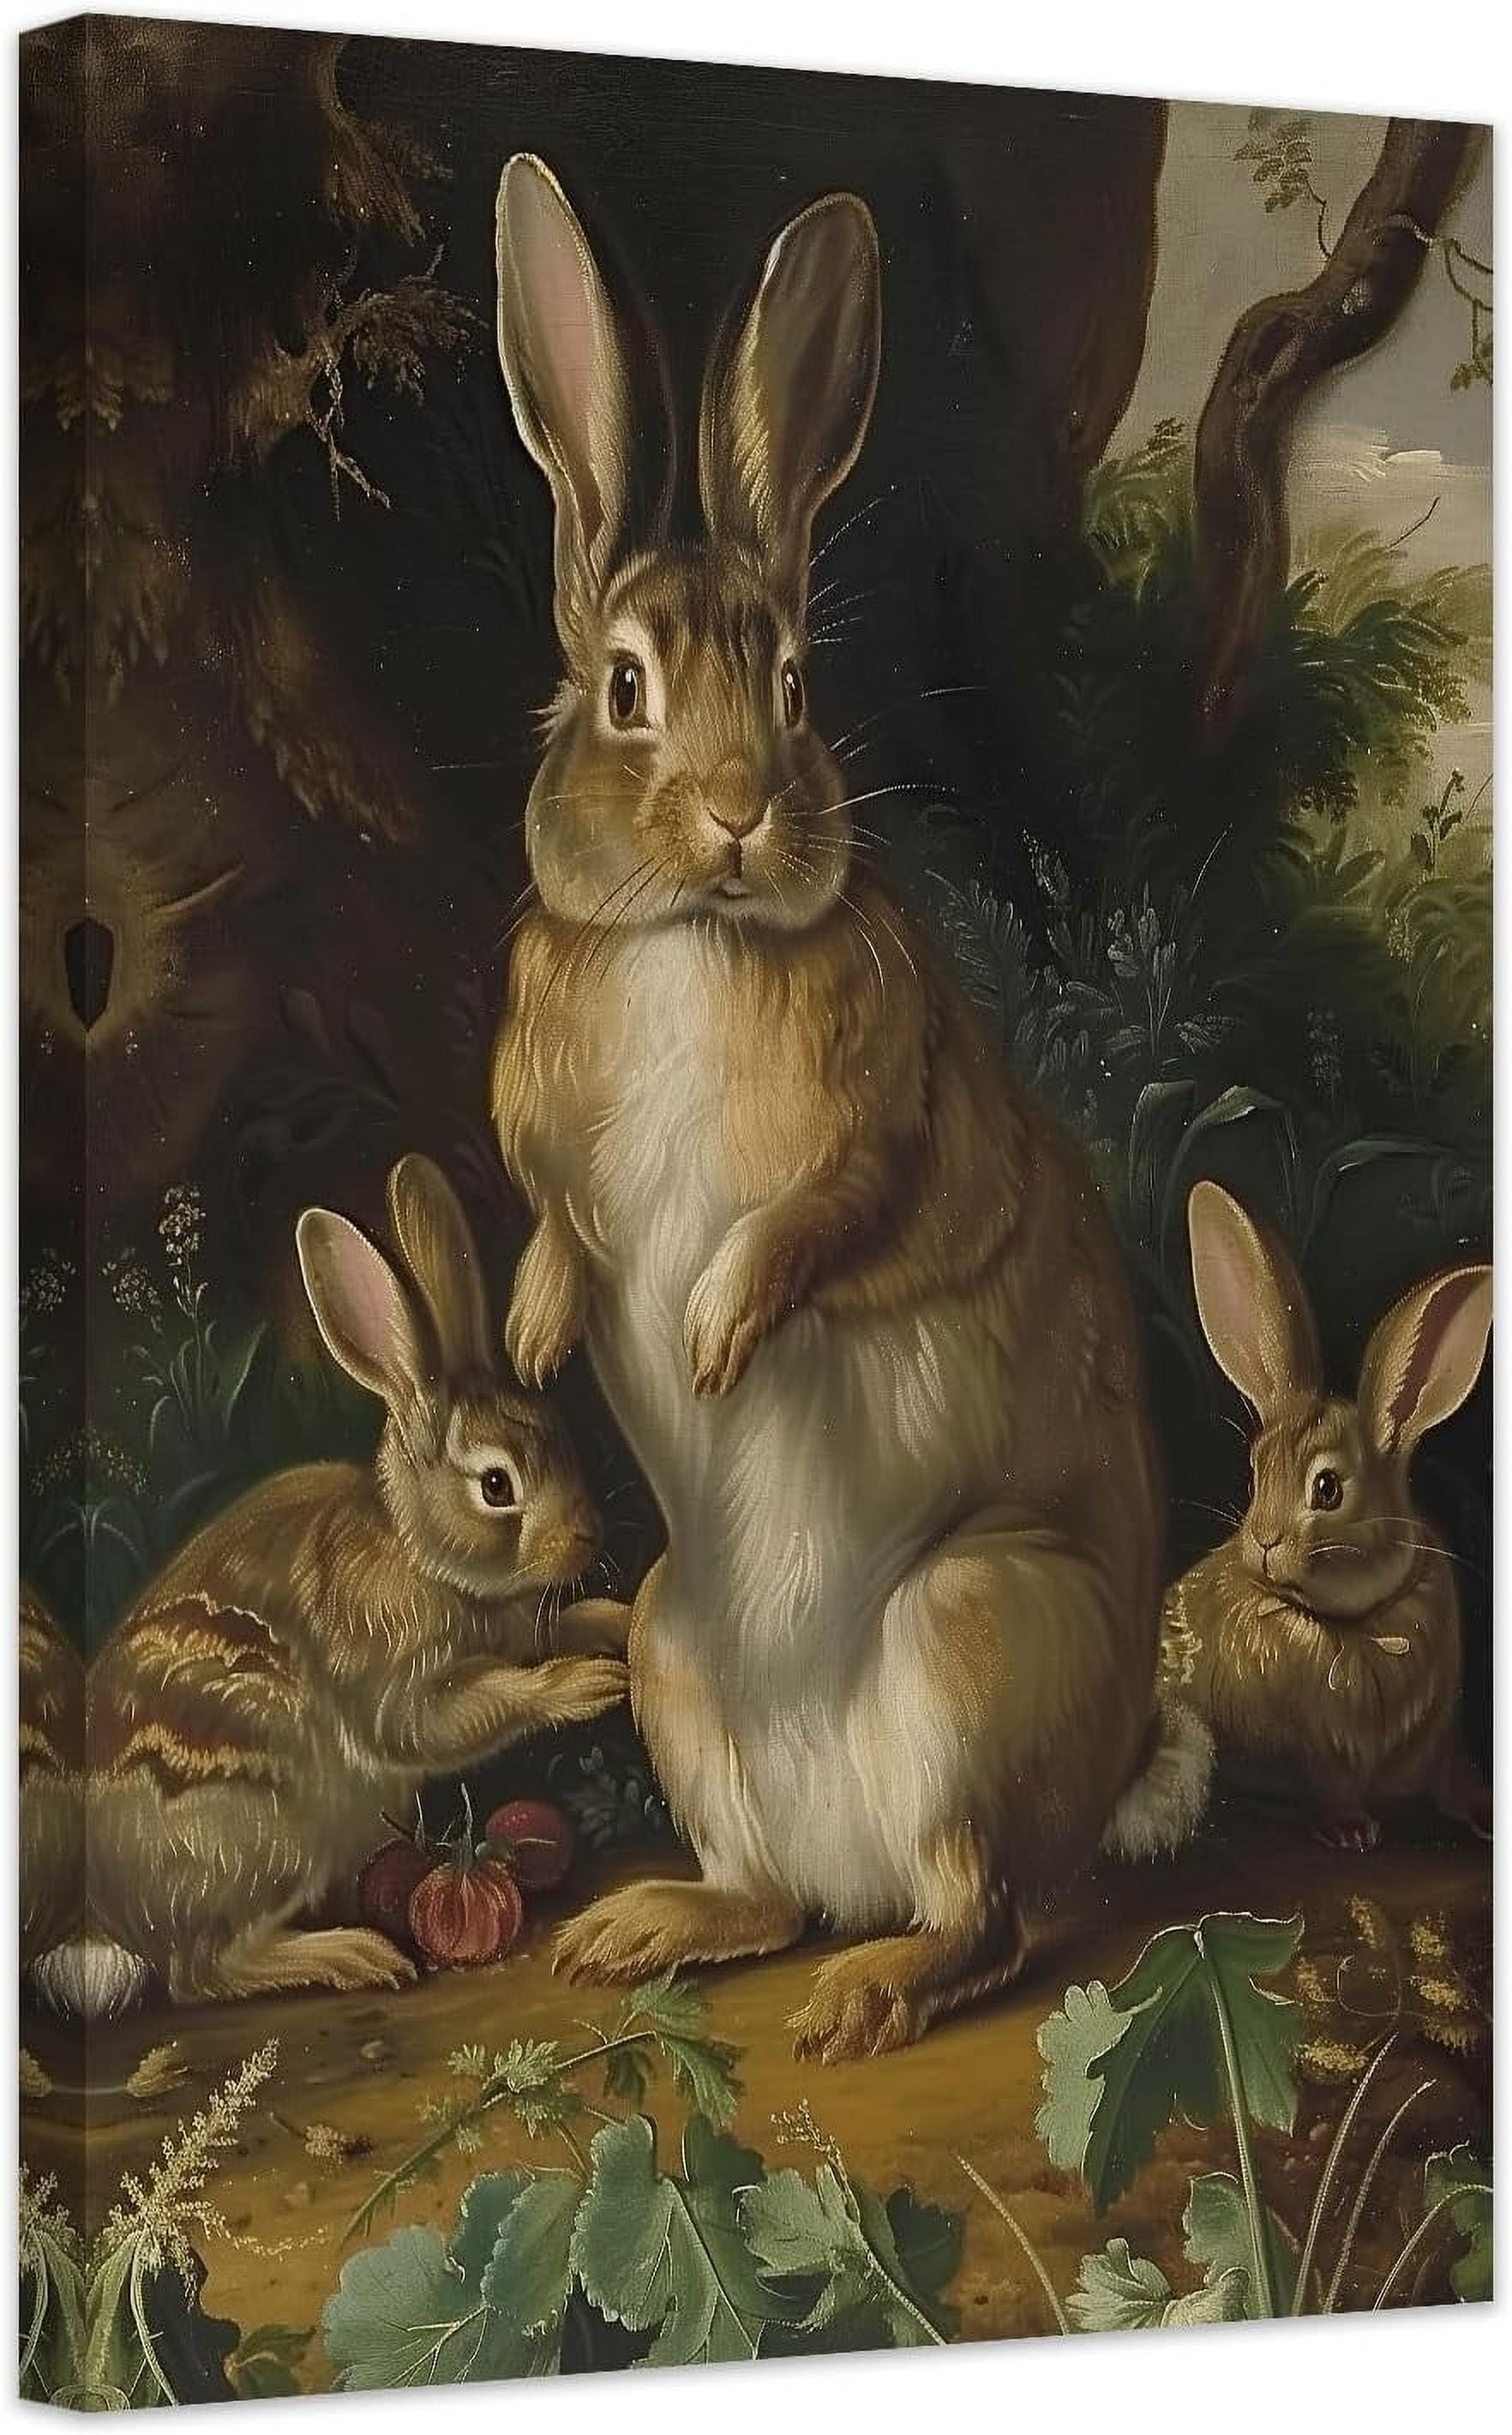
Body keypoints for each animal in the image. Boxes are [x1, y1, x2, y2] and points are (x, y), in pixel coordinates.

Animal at [46, 1154, 629, 2016]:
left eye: (559, 1433)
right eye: (497, 1486)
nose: (590, 1534)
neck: (420, 1553)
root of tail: (108, 1919)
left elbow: (560, 1624)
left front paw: (617, 1626)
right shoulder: (389, 1677)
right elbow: (451, 1713)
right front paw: (583, 1686)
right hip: (264, 1828)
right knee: (201, 1972)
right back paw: (352, 1953)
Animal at [488, 155, 1192, 2063]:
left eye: (797, 685)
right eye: (626, 689)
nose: (738, 810)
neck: (690, 933)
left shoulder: (891, 1129)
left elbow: (824, 1217)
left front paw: (716, 1338)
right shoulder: (539, 1133)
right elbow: (556, 1212)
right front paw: (537, 1326)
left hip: (973, 1636)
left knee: (990, 1917)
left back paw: (867, 1994)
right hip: (673, 1652)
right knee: (777, 1895)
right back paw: (645, 1927)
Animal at [1162, 1179, 1491, 1852]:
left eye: (1328, 1488)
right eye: (1255, 1476)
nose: (1263, 1543)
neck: (1357, 1624)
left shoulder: (1443, 1737)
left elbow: (1458, 1773)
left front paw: (1489, 1814)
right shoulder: (1315, 1752)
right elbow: (1329, 1782)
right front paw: (1352, 1830)